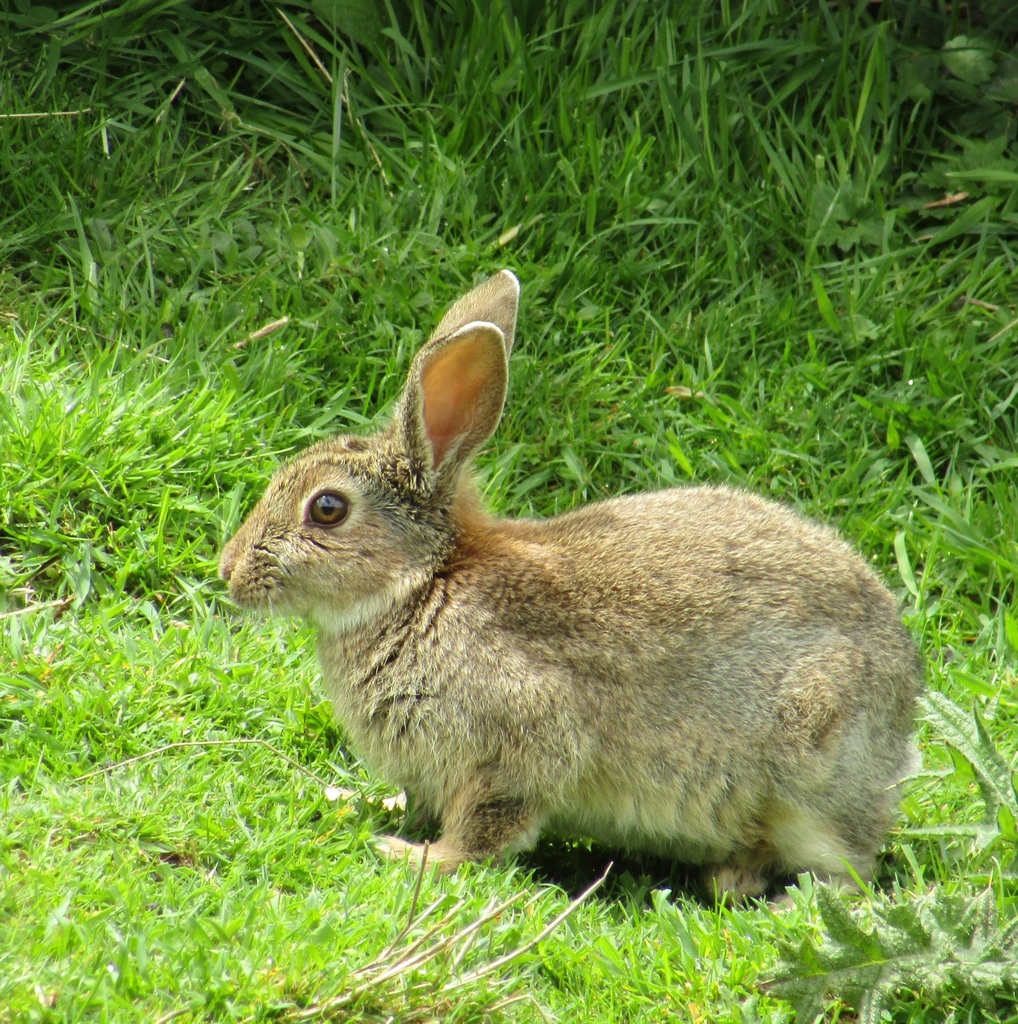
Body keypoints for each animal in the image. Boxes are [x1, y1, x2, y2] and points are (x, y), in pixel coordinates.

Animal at [219, 269, 922, 898]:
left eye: (327, 509)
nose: (228, 571)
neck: (425, 582)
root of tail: (903, 709)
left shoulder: (520, 743)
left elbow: (486, 825)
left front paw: (416, 857)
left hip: (811, 767)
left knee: (848, 870)